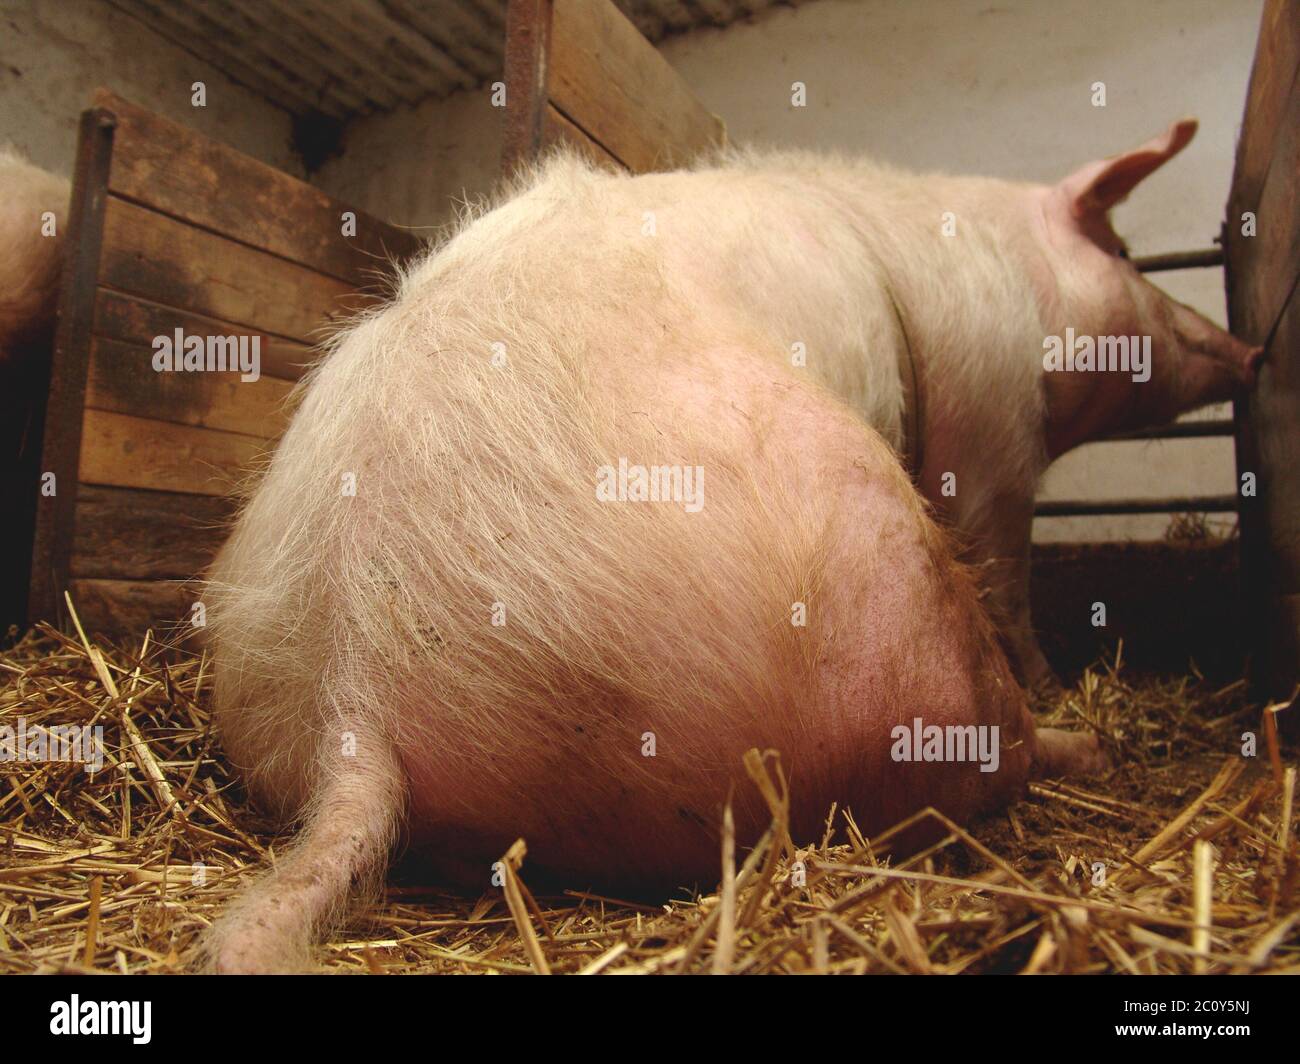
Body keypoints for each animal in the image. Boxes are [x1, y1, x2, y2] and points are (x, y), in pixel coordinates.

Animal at [200, 145, 1115, 973]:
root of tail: (354, 697)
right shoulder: (993, 410)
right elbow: (999, 539)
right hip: (871, 601)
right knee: (986, 730)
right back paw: (1090, 744)